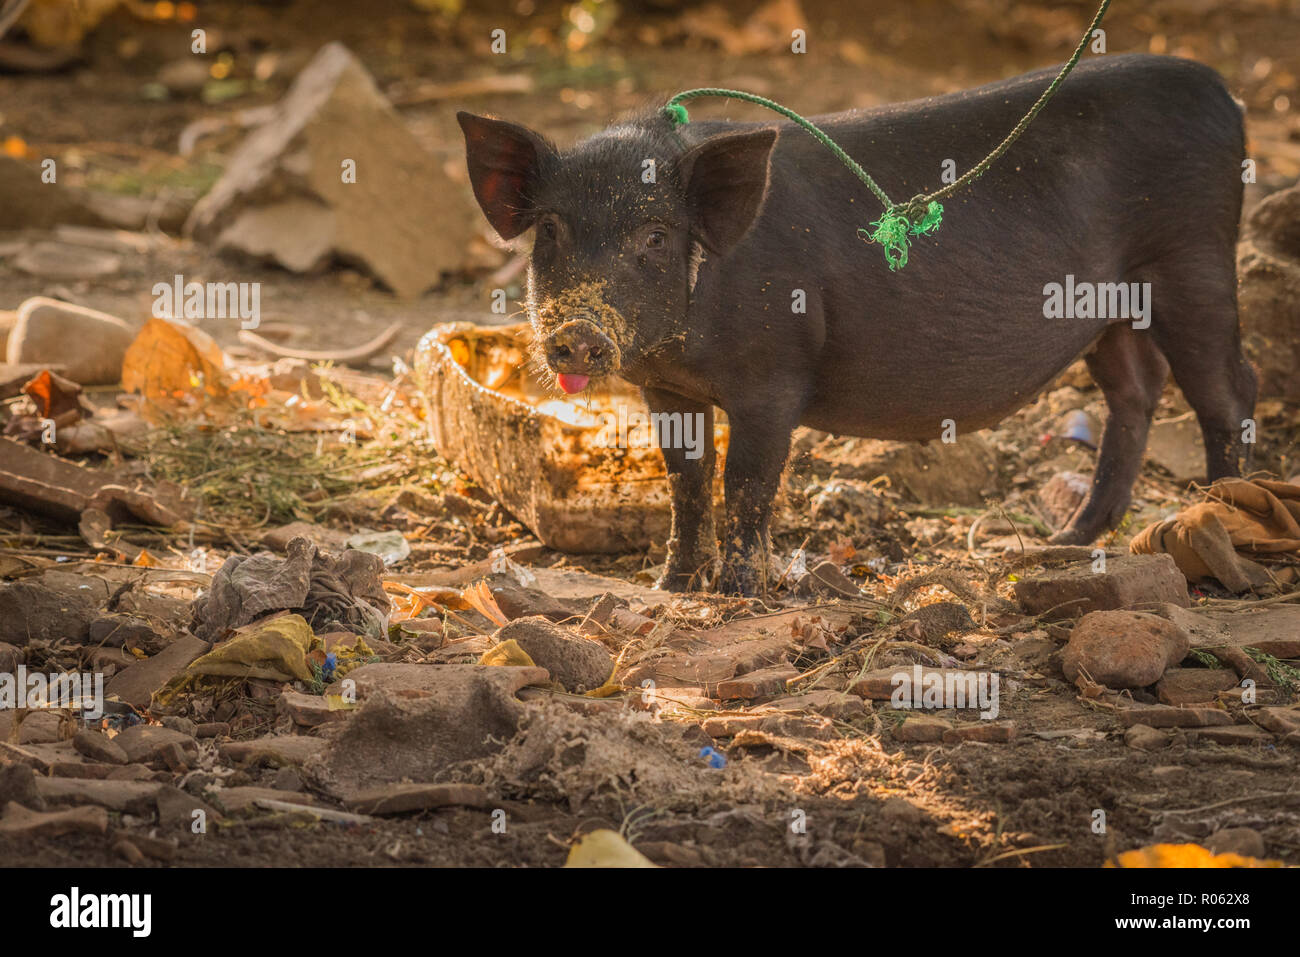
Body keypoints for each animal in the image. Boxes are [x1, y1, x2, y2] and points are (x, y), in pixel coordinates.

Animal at [458, 53, 1256, 595]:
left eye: (655, 236)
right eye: (551, 230)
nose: (578, 334)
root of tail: (1223, 94)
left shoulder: (773, 378)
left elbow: (747, 481)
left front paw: (738, 593)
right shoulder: (669, 389)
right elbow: (686, 478)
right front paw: (672, 586)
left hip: (1194, 261)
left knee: (1229, 390)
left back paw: (1224, 526)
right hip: (1110, 309)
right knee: (1137, 389)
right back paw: (1066, 541)